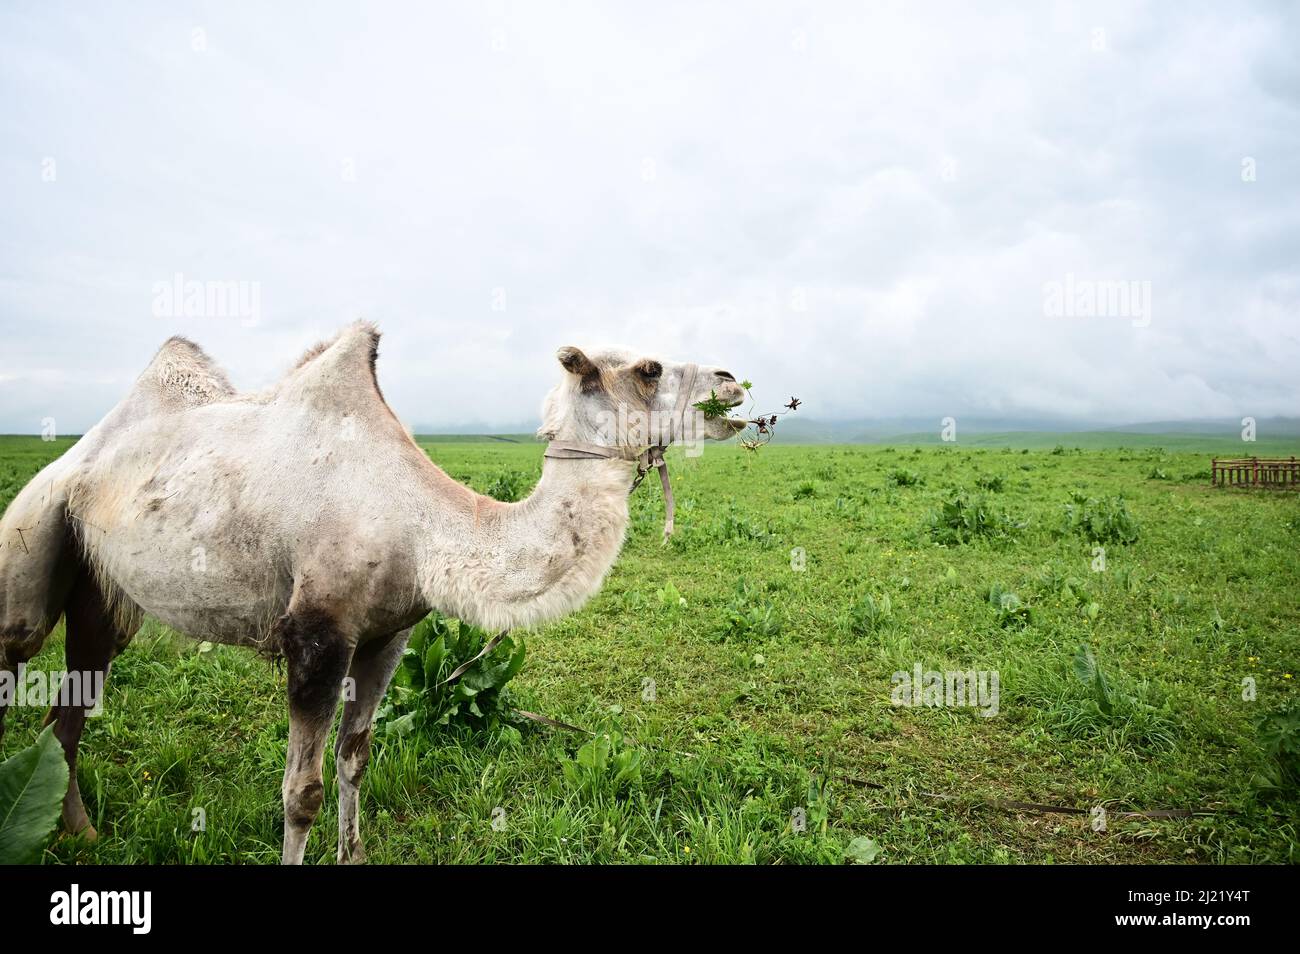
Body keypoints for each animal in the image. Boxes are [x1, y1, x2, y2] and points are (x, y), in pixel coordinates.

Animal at [0, 322, 747, 863]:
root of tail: (81, 454)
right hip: (31, 538)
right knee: (19, 652)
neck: (422, 528)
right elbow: (300, 790)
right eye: (649, 369)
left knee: (70, 702)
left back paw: (80, 833)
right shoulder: (316, 633)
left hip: (101, 587)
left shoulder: (390, 633)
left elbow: (355, 758)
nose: (733, 382)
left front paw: (353, 853)